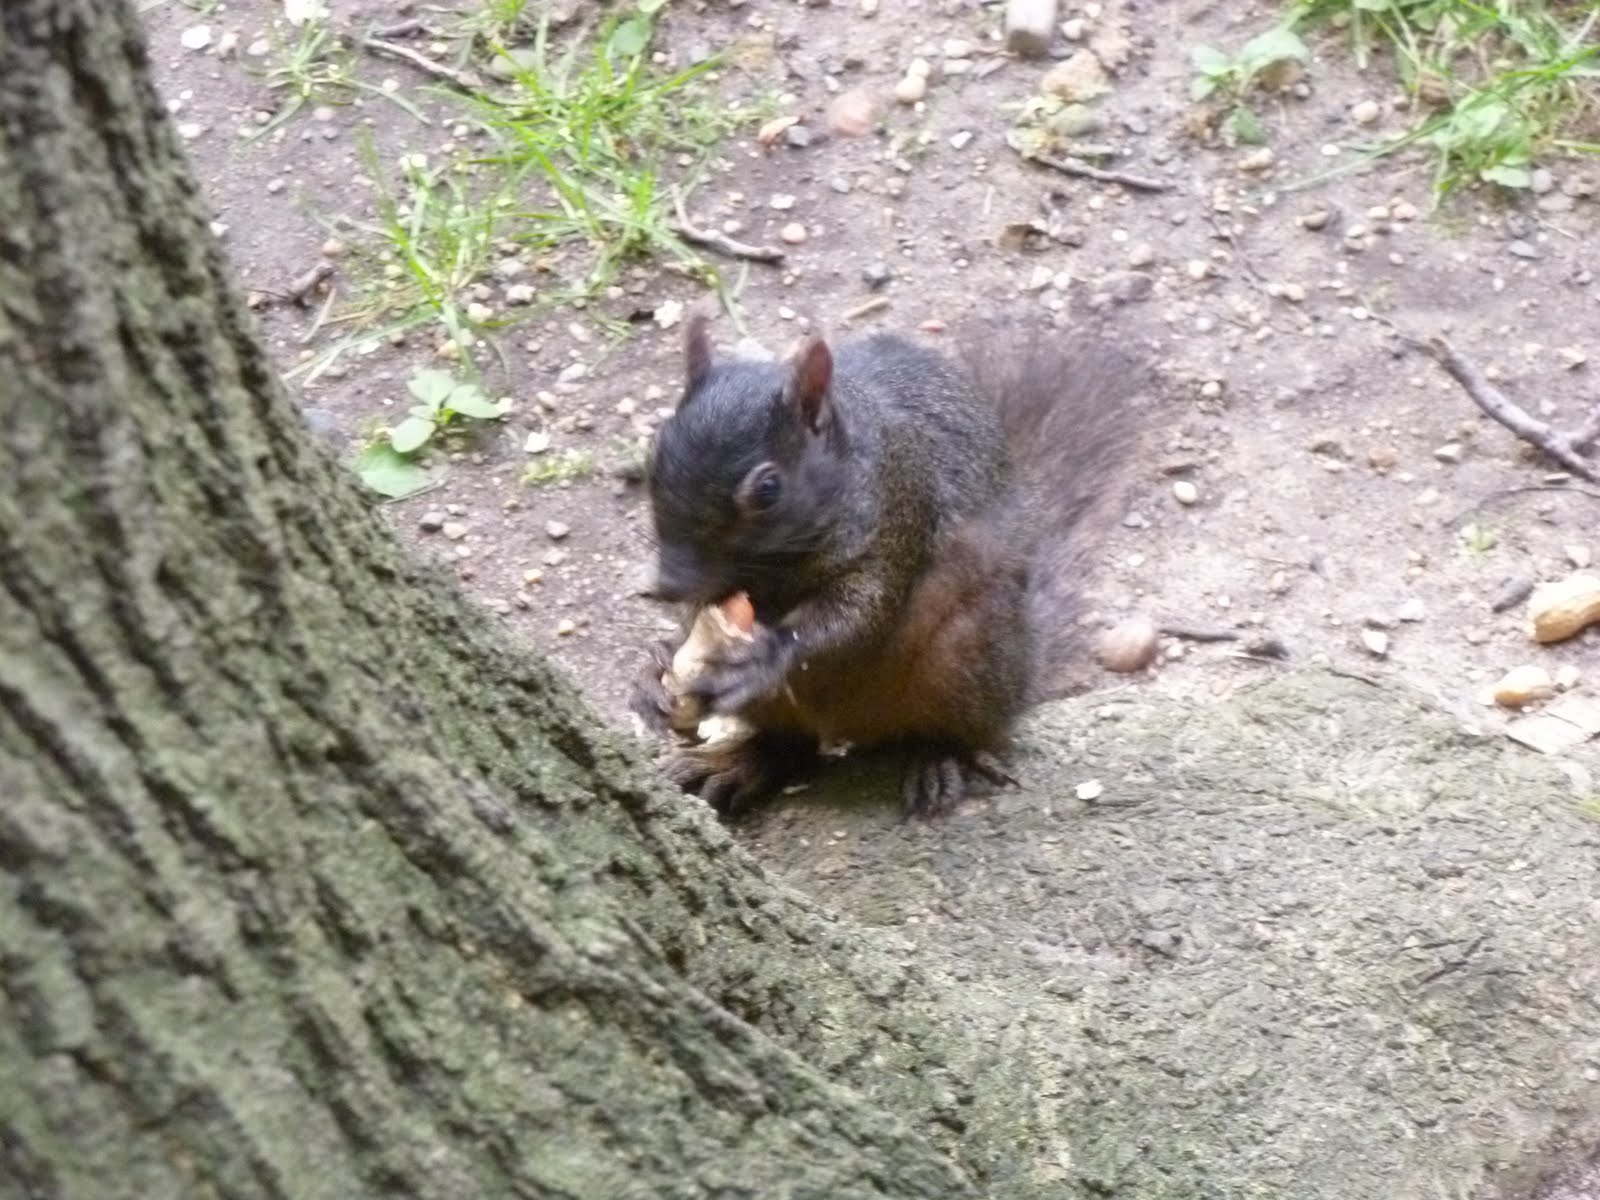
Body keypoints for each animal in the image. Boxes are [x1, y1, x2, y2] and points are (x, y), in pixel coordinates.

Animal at [632, 313, 1143, 816]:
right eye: (654, 452)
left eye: (767, 489)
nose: (668, 585)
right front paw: (654, 671)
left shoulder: (899, 516)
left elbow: (861, 615)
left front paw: (764, 654)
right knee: (791, 745)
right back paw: (740, 762)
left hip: (964, 652)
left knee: (971, 728)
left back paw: (940, 755)